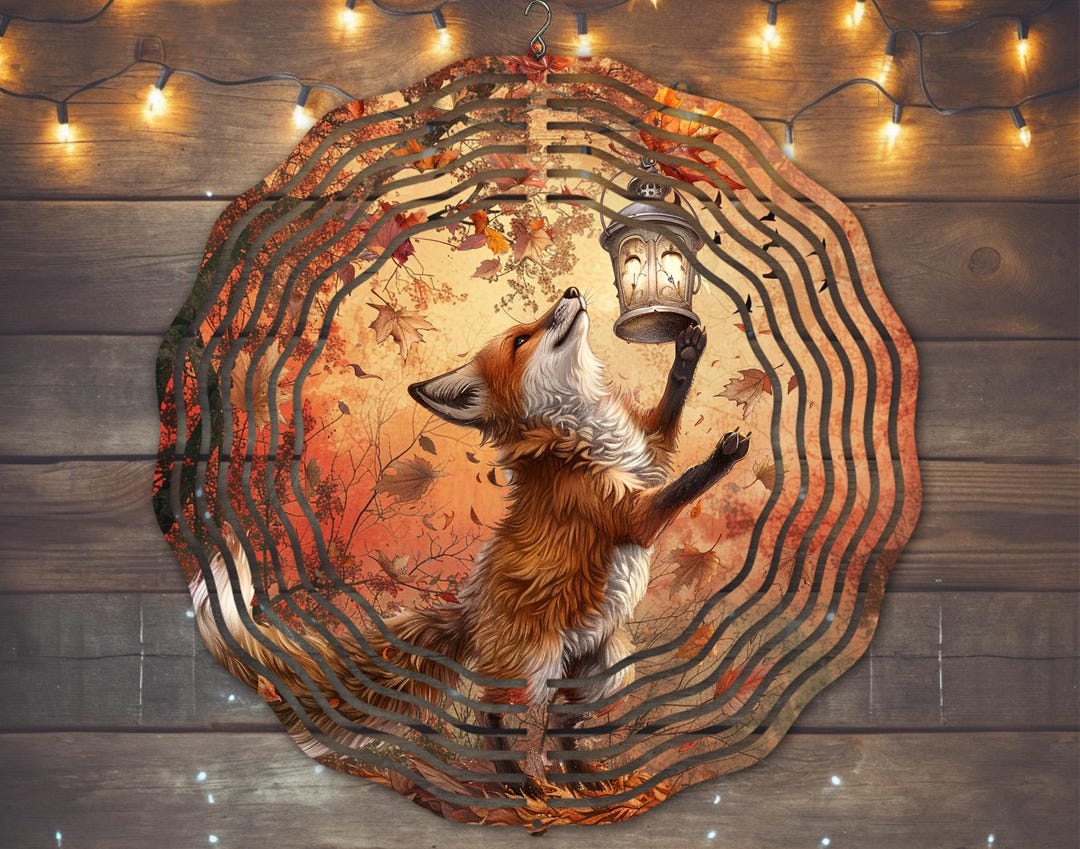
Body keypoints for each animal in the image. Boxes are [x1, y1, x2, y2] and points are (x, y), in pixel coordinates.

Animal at [193, 287, 750, 797]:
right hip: (534, 673)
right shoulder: (626, 516)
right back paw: (521, 786)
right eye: (522, 338)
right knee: (492, 715)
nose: (571, 290)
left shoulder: (647, 455)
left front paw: (687, 354)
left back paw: (582, 777)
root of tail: (470, 609)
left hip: (602, 674)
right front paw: (722, 458)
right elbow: (681, 487)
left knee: (564, 724)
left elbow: (667, 419)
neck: (577, 429)